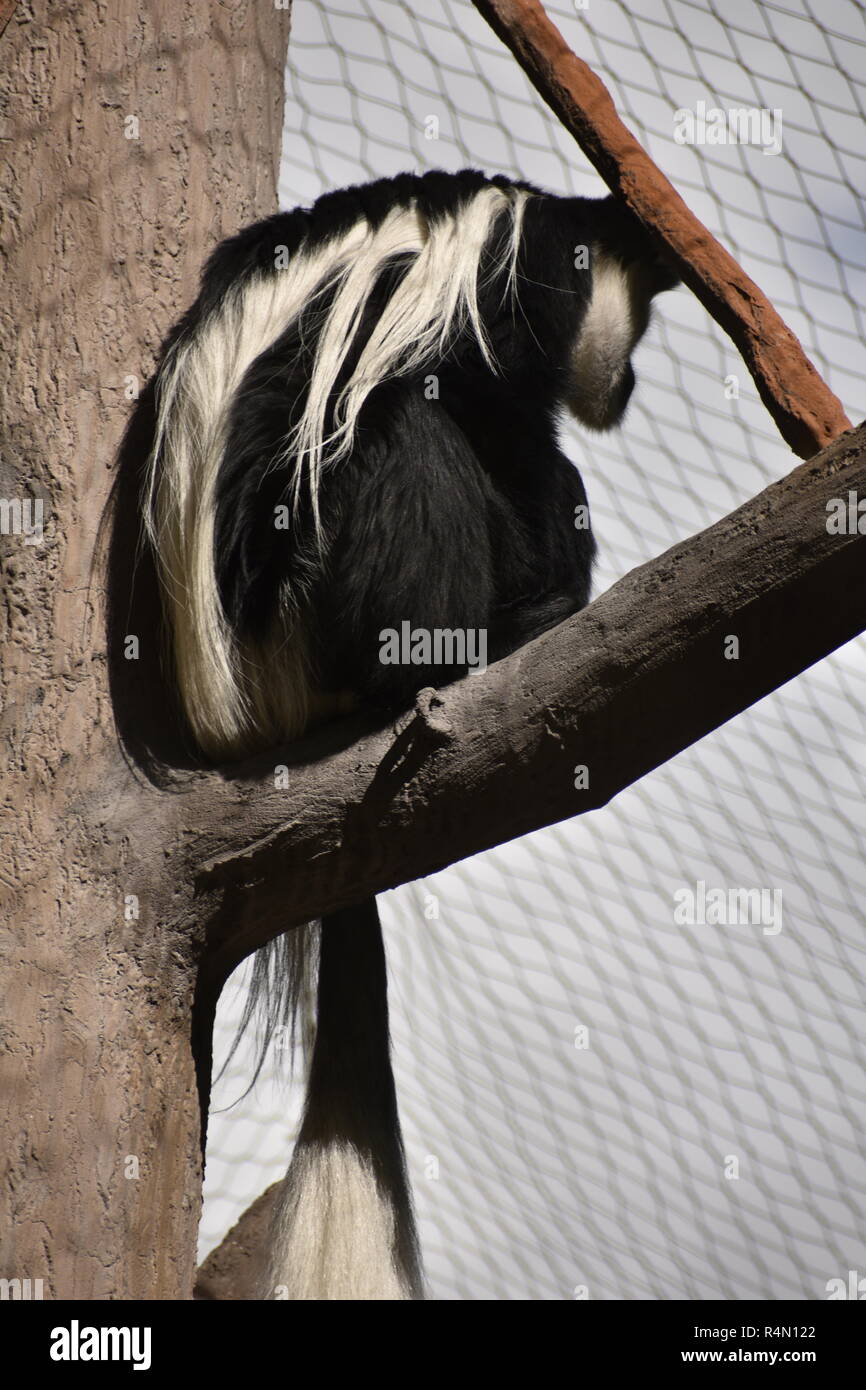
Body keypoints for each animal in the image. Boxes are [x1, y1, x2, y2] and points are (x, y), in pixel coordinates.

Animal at [143, 168, 678, 1299]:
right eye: (643, 313)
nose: (633, 378)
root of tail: (233, 713)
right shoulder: (504, 272)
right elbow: (491, 405)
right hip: (299, 621)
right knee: (400, 425)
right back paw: (450, 657)